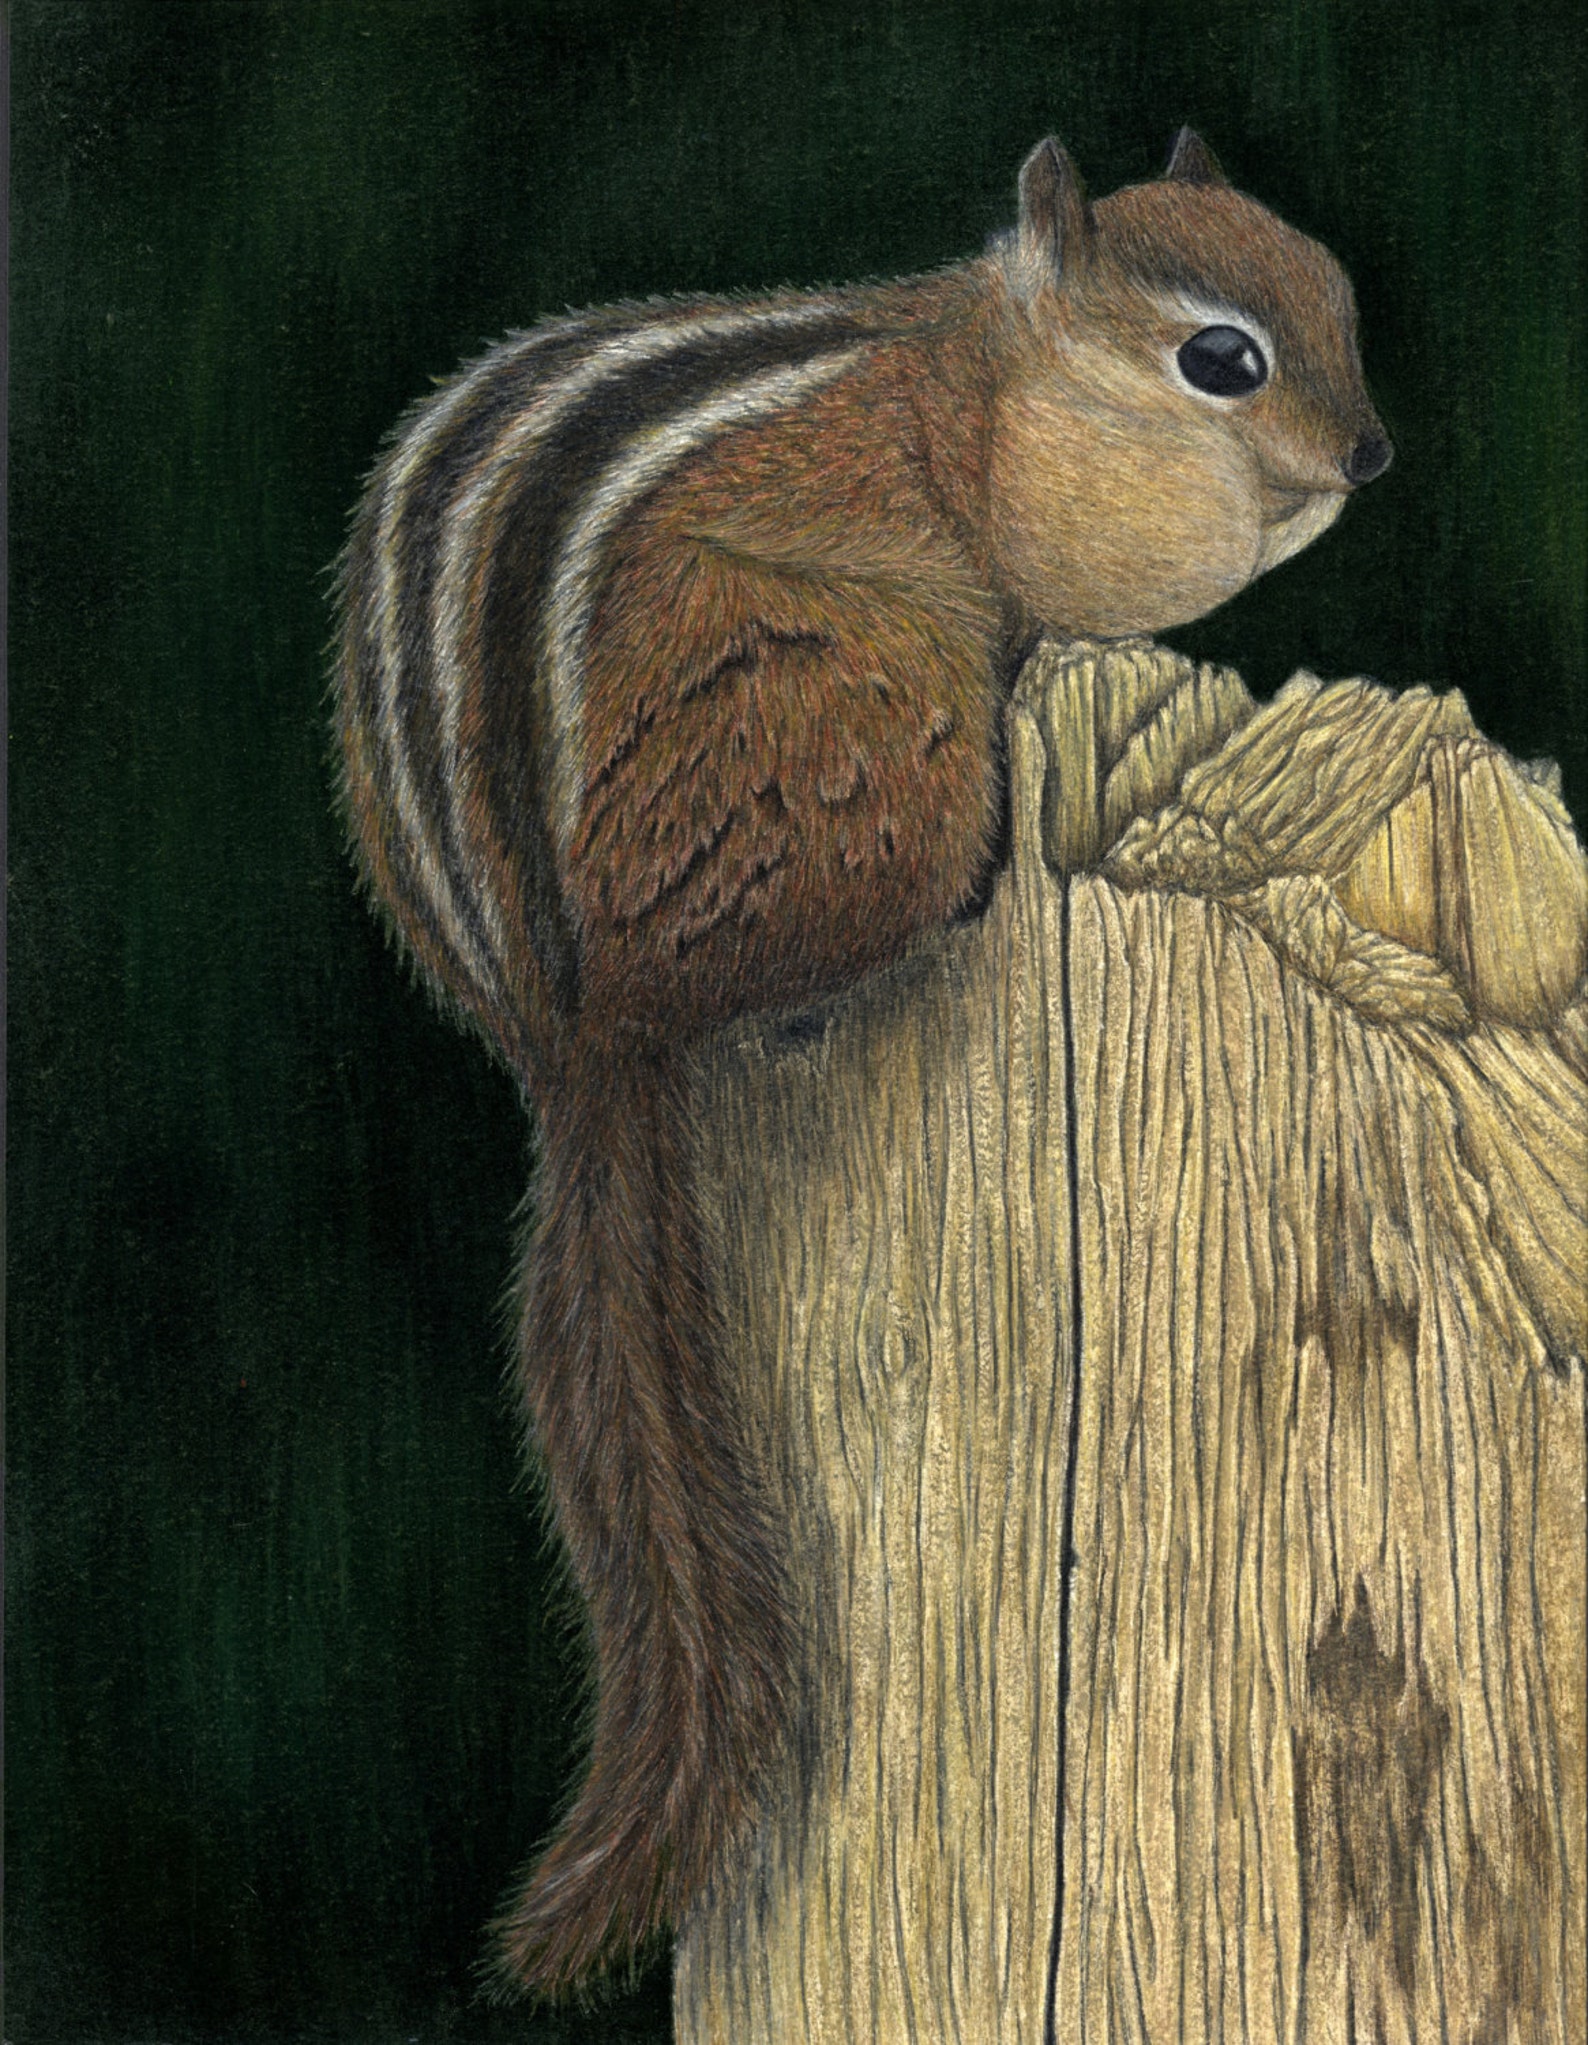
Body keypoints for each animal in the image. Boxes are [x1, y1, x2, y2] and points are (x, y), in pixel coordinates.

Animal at [334, 128, 1391, 1993]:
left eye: (1336, 291)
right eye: (1222, 358)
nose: (1372, 453)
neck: (999, 373)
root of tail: (566, 1017)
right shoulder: (1055, 529)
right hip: (868, 729)